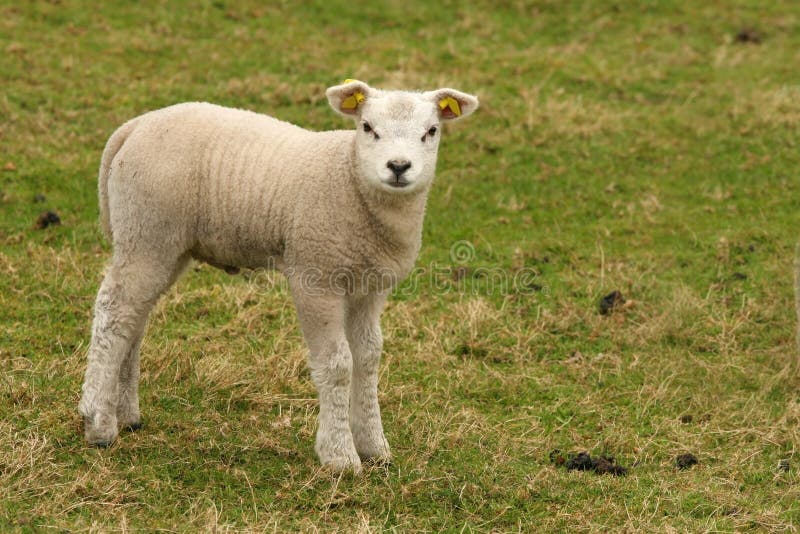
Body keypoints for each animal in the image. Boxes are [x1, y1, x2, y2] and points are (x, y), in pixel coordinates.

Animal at [78, 80, 478, 472]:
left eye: (431, 131)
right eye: (367, 127)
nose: (398, 166)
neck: (350, 178)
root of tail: (135, 127)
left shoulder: (369, 288)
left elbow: (367, 358)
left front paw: (373, 446)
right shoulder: (315, 276)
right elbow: (336, 364)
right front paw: (339, 456)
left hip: (163, 244)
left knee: (134, 320)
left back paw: (125, 414)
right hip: (146, 230)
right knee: (113, 316)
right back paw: (98, 421)